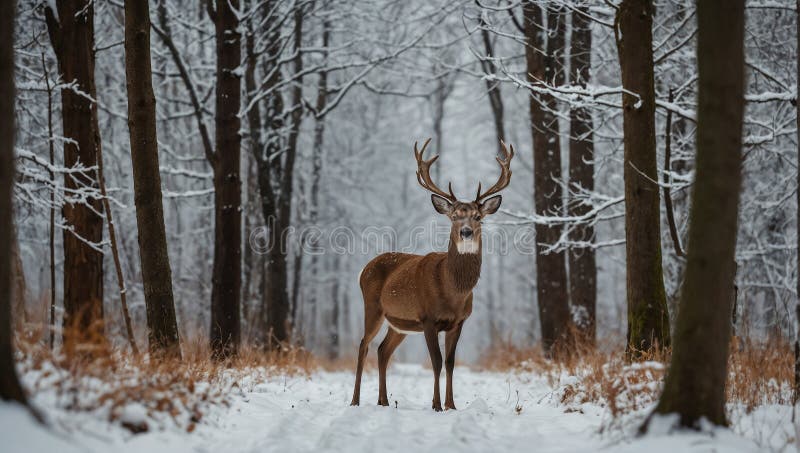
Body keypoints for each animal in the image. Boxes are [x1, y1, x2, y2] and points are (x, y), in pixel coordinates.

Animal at [350, 138, 514, 411]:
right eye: (454, 216)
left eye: (478, 217)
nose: (466, 232)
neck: (452, 291)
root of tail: (363, 269)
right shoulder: (428, 318)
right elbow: (436, 362)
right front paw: (436, 405)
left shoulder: (459, 322)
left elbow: (450, 363)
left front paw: (451, 405)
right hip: (372, 306)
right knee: (363, 345)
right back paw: (355, 400)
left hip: (399, 323)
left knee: (383, 350)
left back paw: (383, 401)